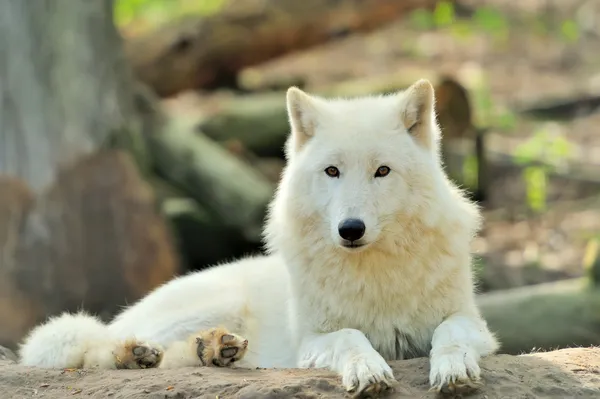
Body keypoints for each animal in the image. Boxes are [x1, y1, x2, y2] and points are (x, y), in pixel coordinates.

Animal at [18, 80, 496, 396]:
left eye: (382, 171)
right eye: (332, 171)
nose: (350, 229)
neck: (375, 274)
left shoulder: (472, 321)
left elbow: (451, 331)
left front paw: (453, 368)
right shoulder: (312, 339)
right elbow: (350, 336)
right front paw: (367, 370)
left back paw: (215, 350)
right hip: (210, 304)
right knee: (92, 349)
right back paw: (135, 353)